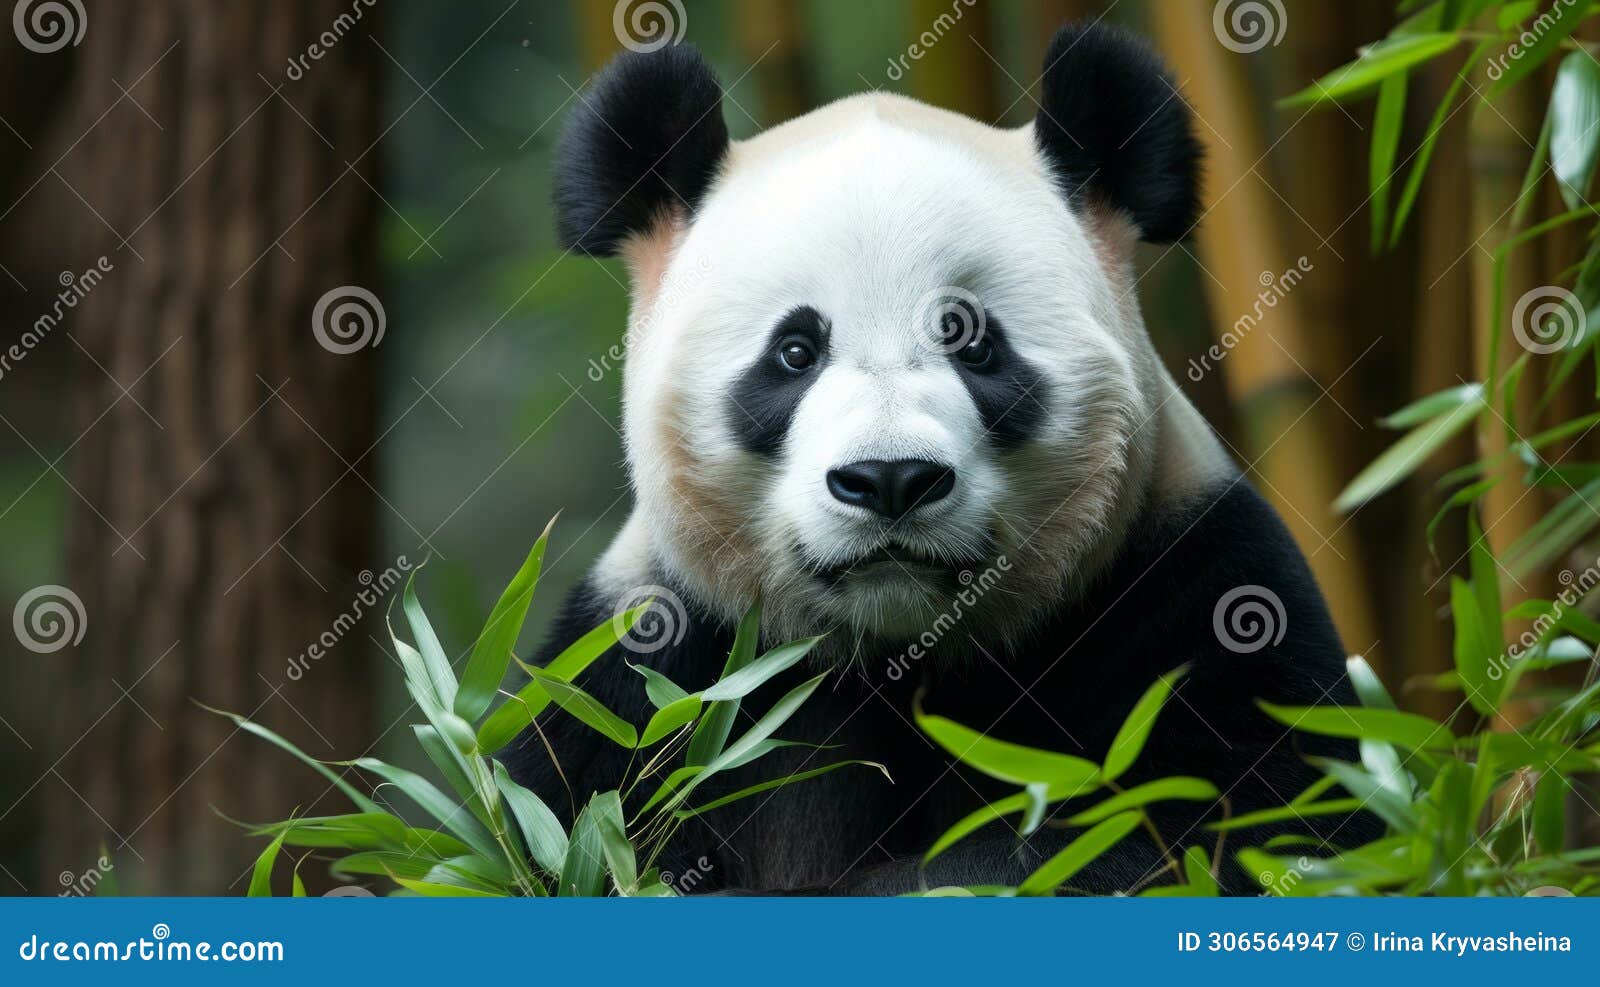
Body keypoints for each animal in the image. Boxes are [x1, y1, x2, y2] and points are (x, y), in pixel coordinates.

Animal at [502, 21, 1378, 895]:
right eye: (794, 352)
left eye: (973, 341)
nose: (891, 480)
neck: (894, 656)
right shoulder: (642, 669)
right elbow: (559, 830)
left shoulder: (1200, 590)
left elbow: (1239, 830)